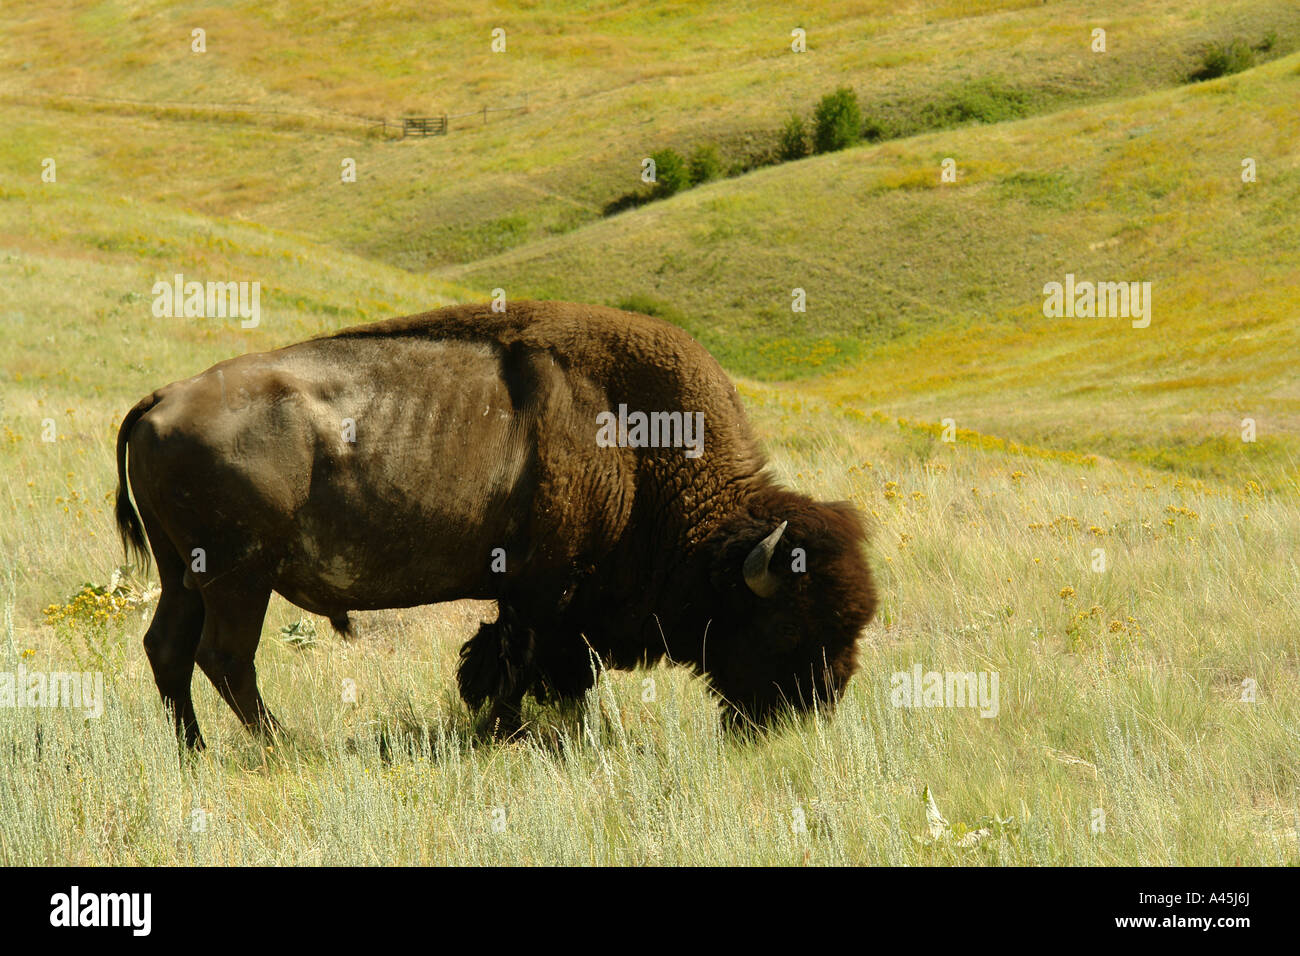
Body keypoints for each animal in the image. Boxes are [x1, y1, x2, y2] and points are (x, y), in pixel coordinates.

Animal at [114, 301, 876, 747]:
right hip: (239, 578)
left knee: (169, 651)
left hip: (185, 575)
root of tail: (162, 399)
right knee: (225, 658)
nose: (816, 708)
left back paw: (194, 752)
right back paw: (285, 746)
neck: (636, 445)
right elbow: (526, 665)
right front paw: (512, 734)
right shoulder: (544, 594)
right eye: (786, 624)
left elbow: (521, 664)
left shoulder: (535, 599)